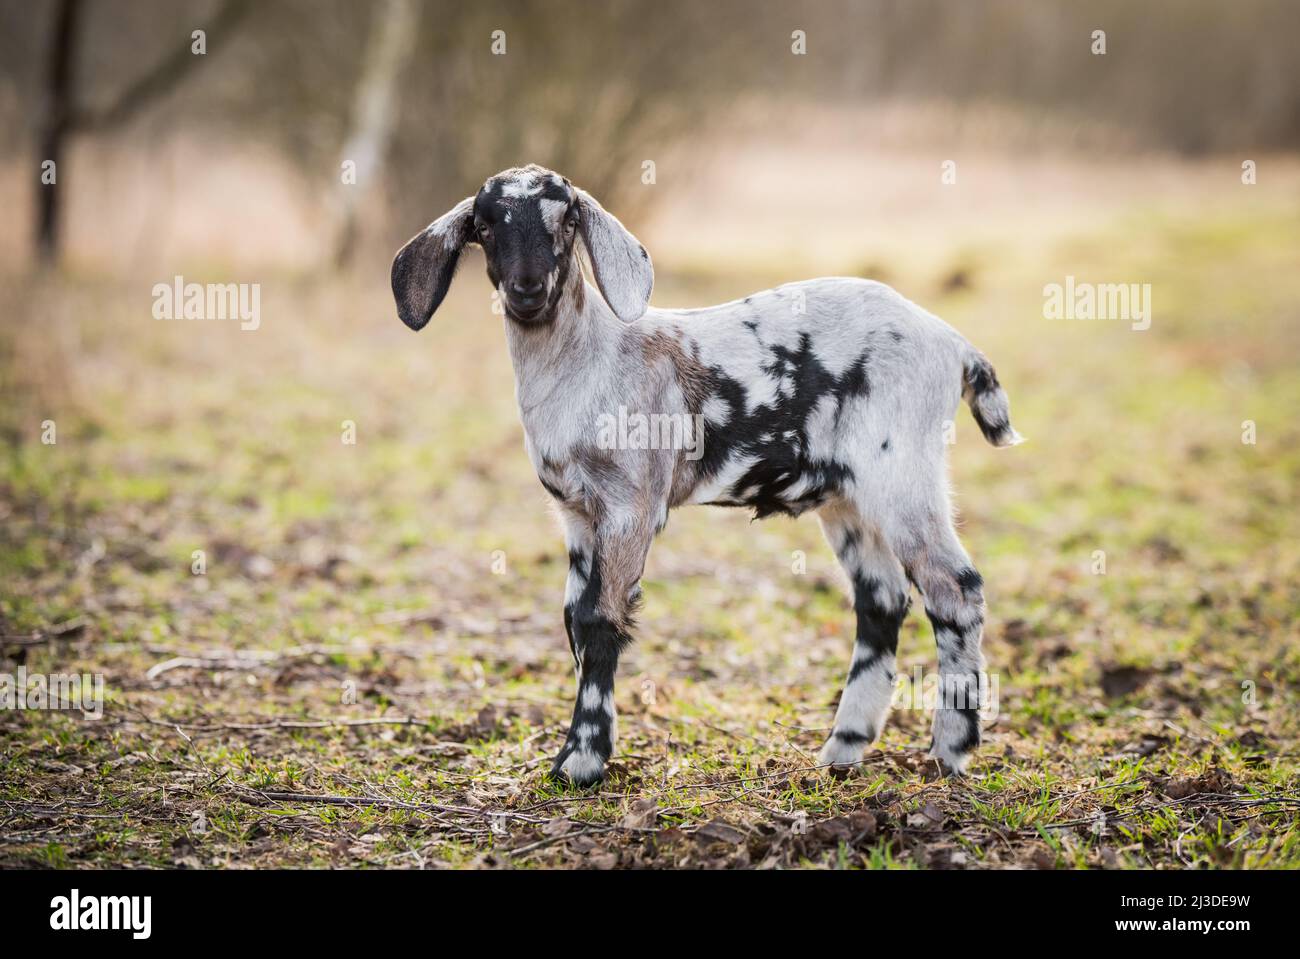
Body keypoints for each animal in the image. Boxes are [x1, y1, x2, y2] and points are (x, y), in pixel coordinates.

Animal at [391, 164, 1022, 786]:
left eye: (567, 220)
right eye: (485, 226)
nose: (527, 289)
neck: (589, 359)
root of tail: (952, 343)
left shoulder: (631, 505)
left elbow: (599, 621)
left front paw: (583, 762)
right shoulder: (576, 514)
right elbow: (572, 619)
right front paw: (576, 753)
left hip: (902, 473)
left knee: (955, 588)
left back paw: (949, 753)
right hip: (847, 497)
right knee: (882, 601)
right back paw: (842, 750)